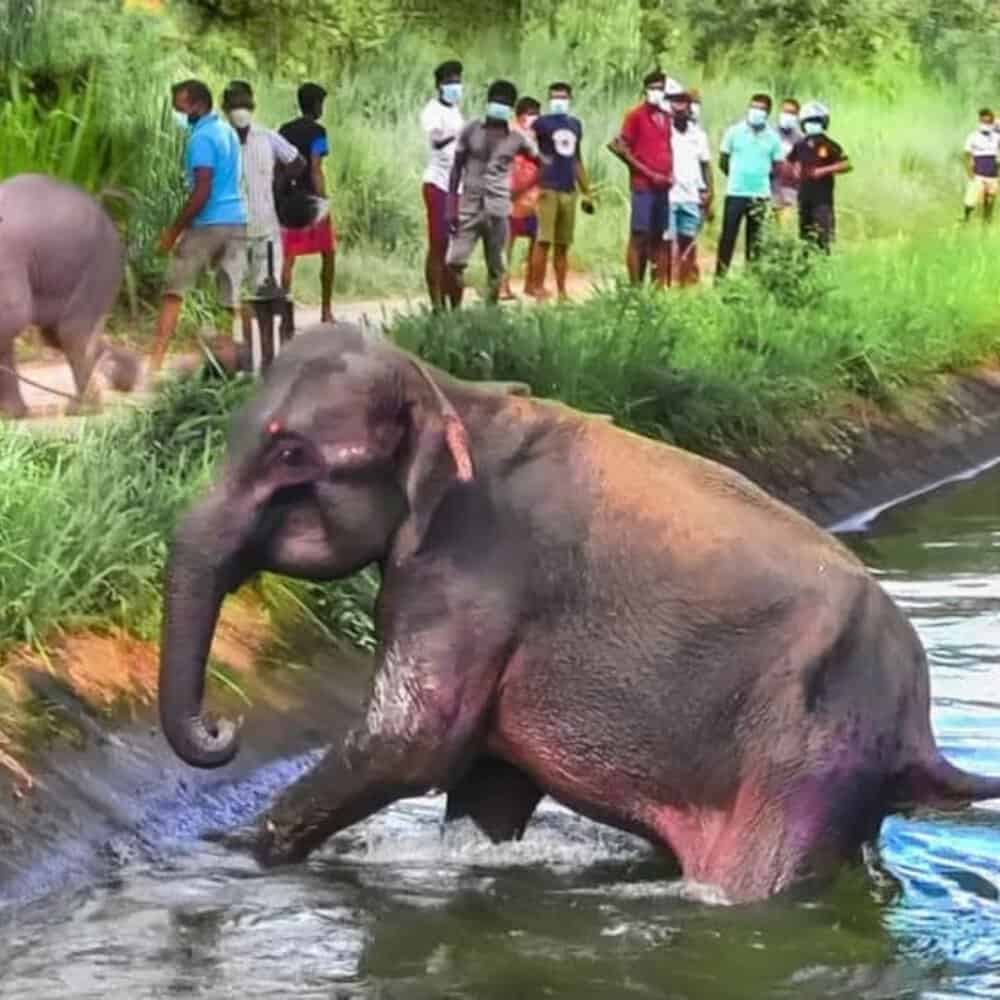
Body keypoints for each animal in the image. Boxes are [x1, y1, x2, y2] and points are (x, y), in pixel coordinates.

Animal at [0, 173, 140, 418]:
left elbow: (13, 316)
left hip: (100, 267)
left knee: (72, 333)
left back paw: (82, 408)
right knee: (57, 336)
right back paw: (124, 379)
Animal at [157, 321, 1000, 904]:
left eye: (290, 456)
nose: (224, 729)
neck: (448, 389)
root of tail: (917, 727)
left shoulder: (469, 571)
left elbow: (414, 741)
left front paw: (234, 850)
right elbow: (487, 780)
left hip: (803, 762)